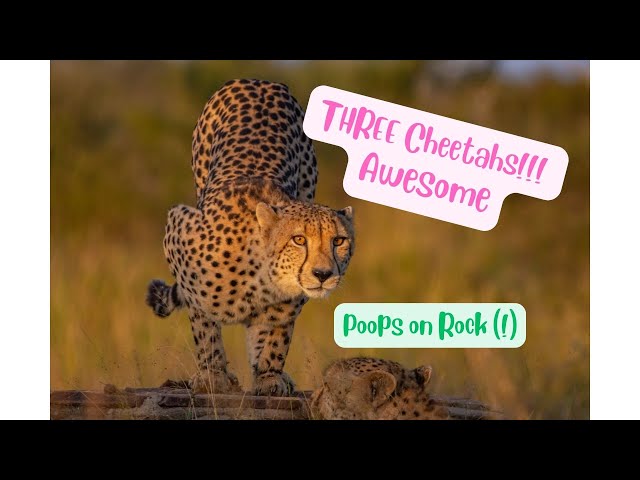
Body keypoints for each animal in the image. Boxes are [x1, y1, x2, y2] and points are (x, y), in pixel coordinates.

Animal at [145, 79, 355, 396]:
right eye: (299, 240)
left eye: (338, 241)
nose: (323, 274)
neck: (261, 274)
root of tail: (262, 81)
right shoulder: (178, 226)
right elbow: (203, 321)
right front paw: (213, 375)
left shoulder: (287, 302)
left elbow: (277, 333)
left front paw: (268, 375)